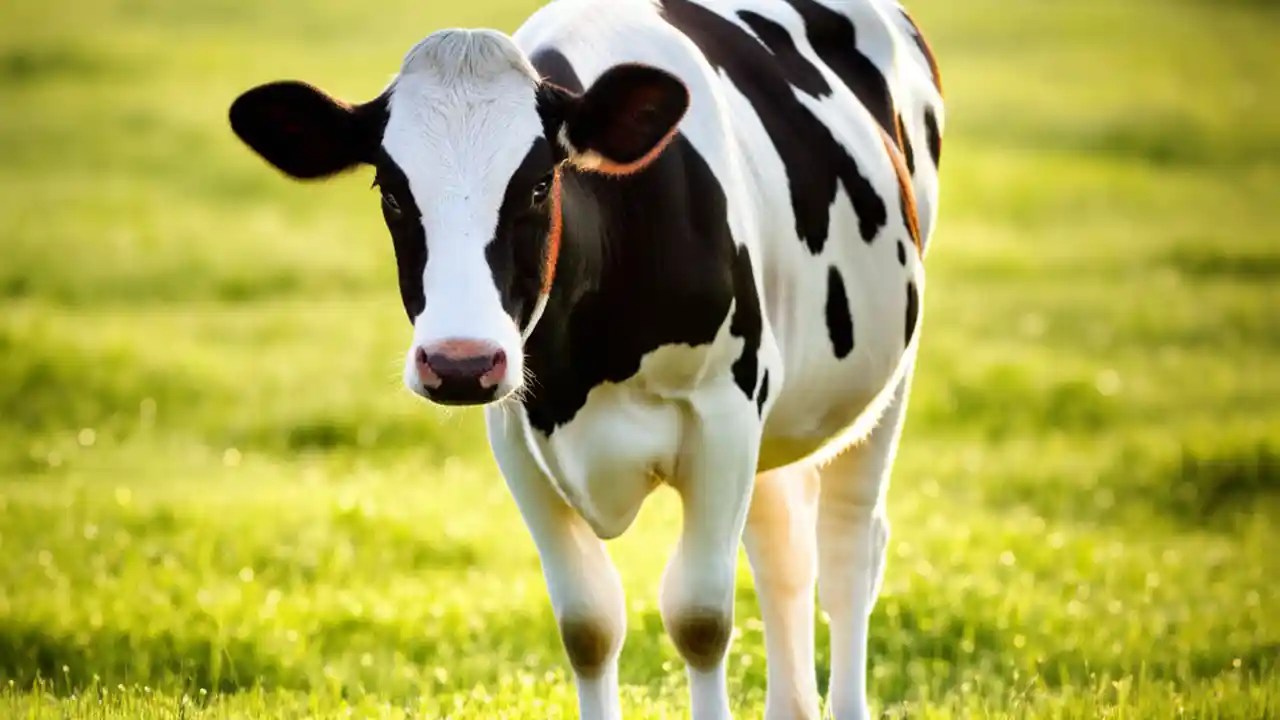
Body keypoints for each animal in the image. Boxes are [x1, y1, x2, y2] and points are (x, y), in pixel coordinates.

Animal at [228, 0, 943, 717]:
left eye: (540, 184)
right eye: (391, 191)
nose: (459, 363)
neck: (587, 368)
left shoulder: (726, 414)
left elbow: (701, 618)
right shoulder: (516, 433)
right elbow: (588, 624)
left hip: (886, 383)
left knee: (848, 554)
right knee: (783, 552)